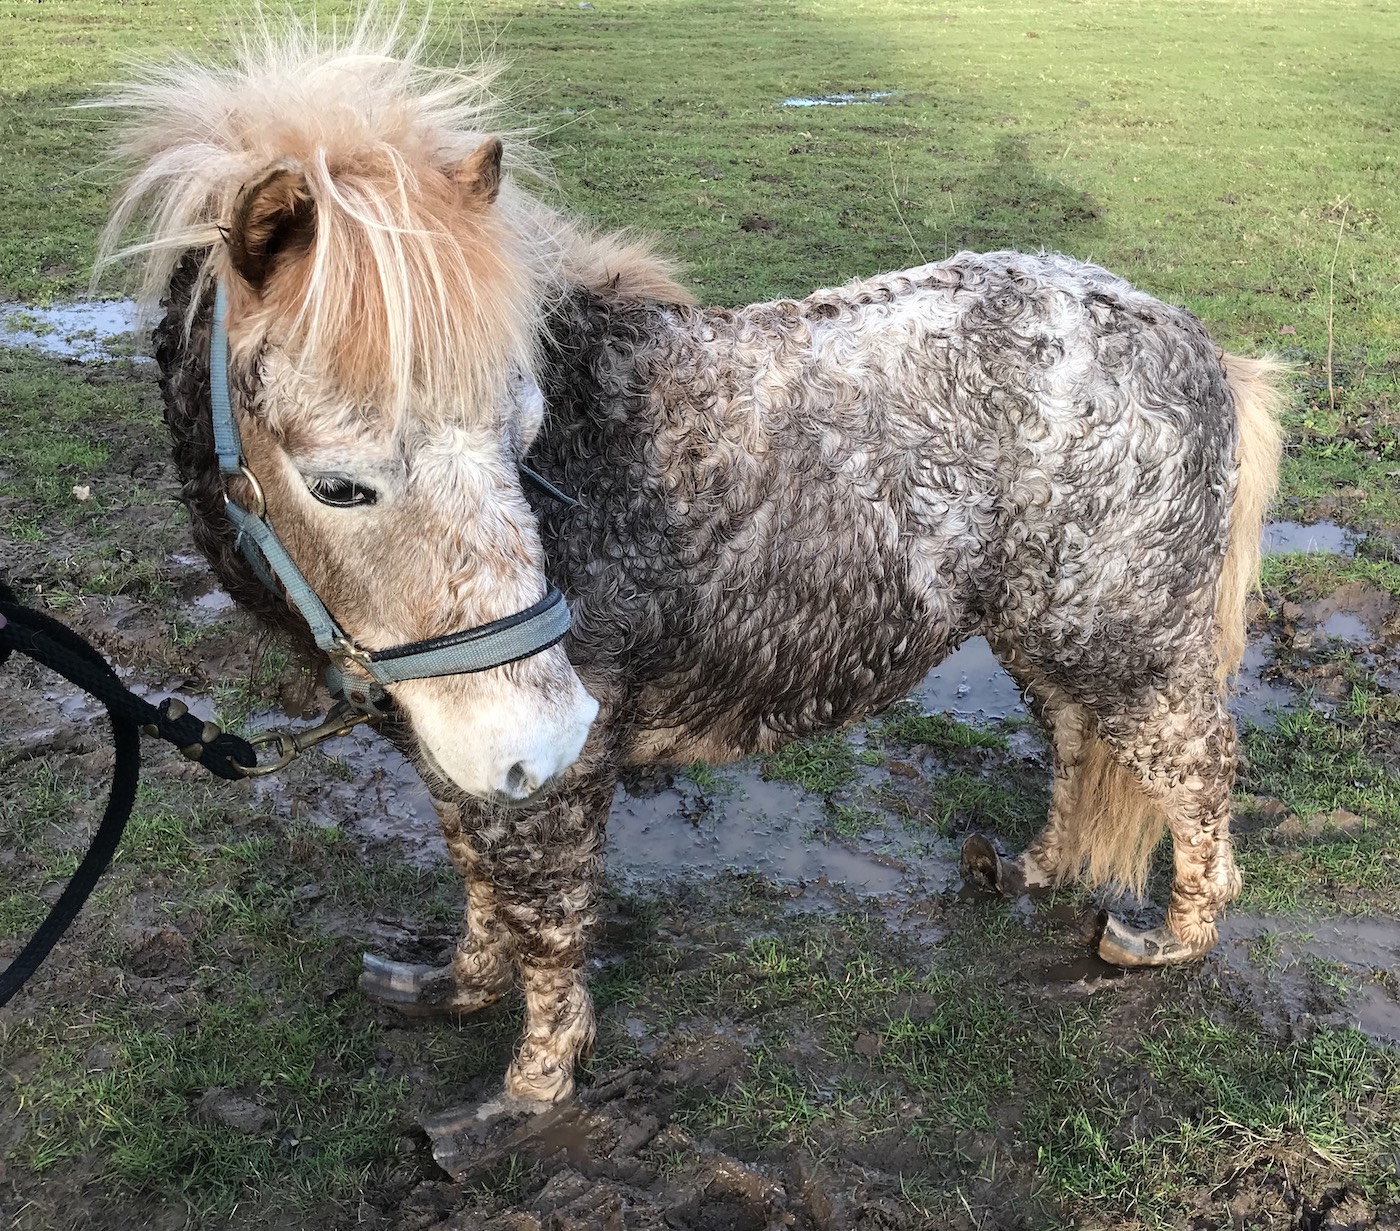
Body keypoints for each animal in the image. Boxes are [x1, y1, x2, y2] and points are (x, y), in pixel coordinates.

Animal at [101, 16, 1284, 1104]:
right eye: (339, 485)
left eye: (522, 432)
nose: (546, 727)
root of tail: (1191, 337)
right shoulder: (467, 759)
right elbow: (479, 884)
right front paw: (454, 987)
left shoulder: (552, 779)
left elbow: (543, 918)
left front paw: (529, 1092)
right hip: (1044, 631)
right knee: (1080, 742)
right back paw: (1030, 870)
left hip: (1127, 639)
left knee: (1193, 766)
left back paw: (1166, 939)